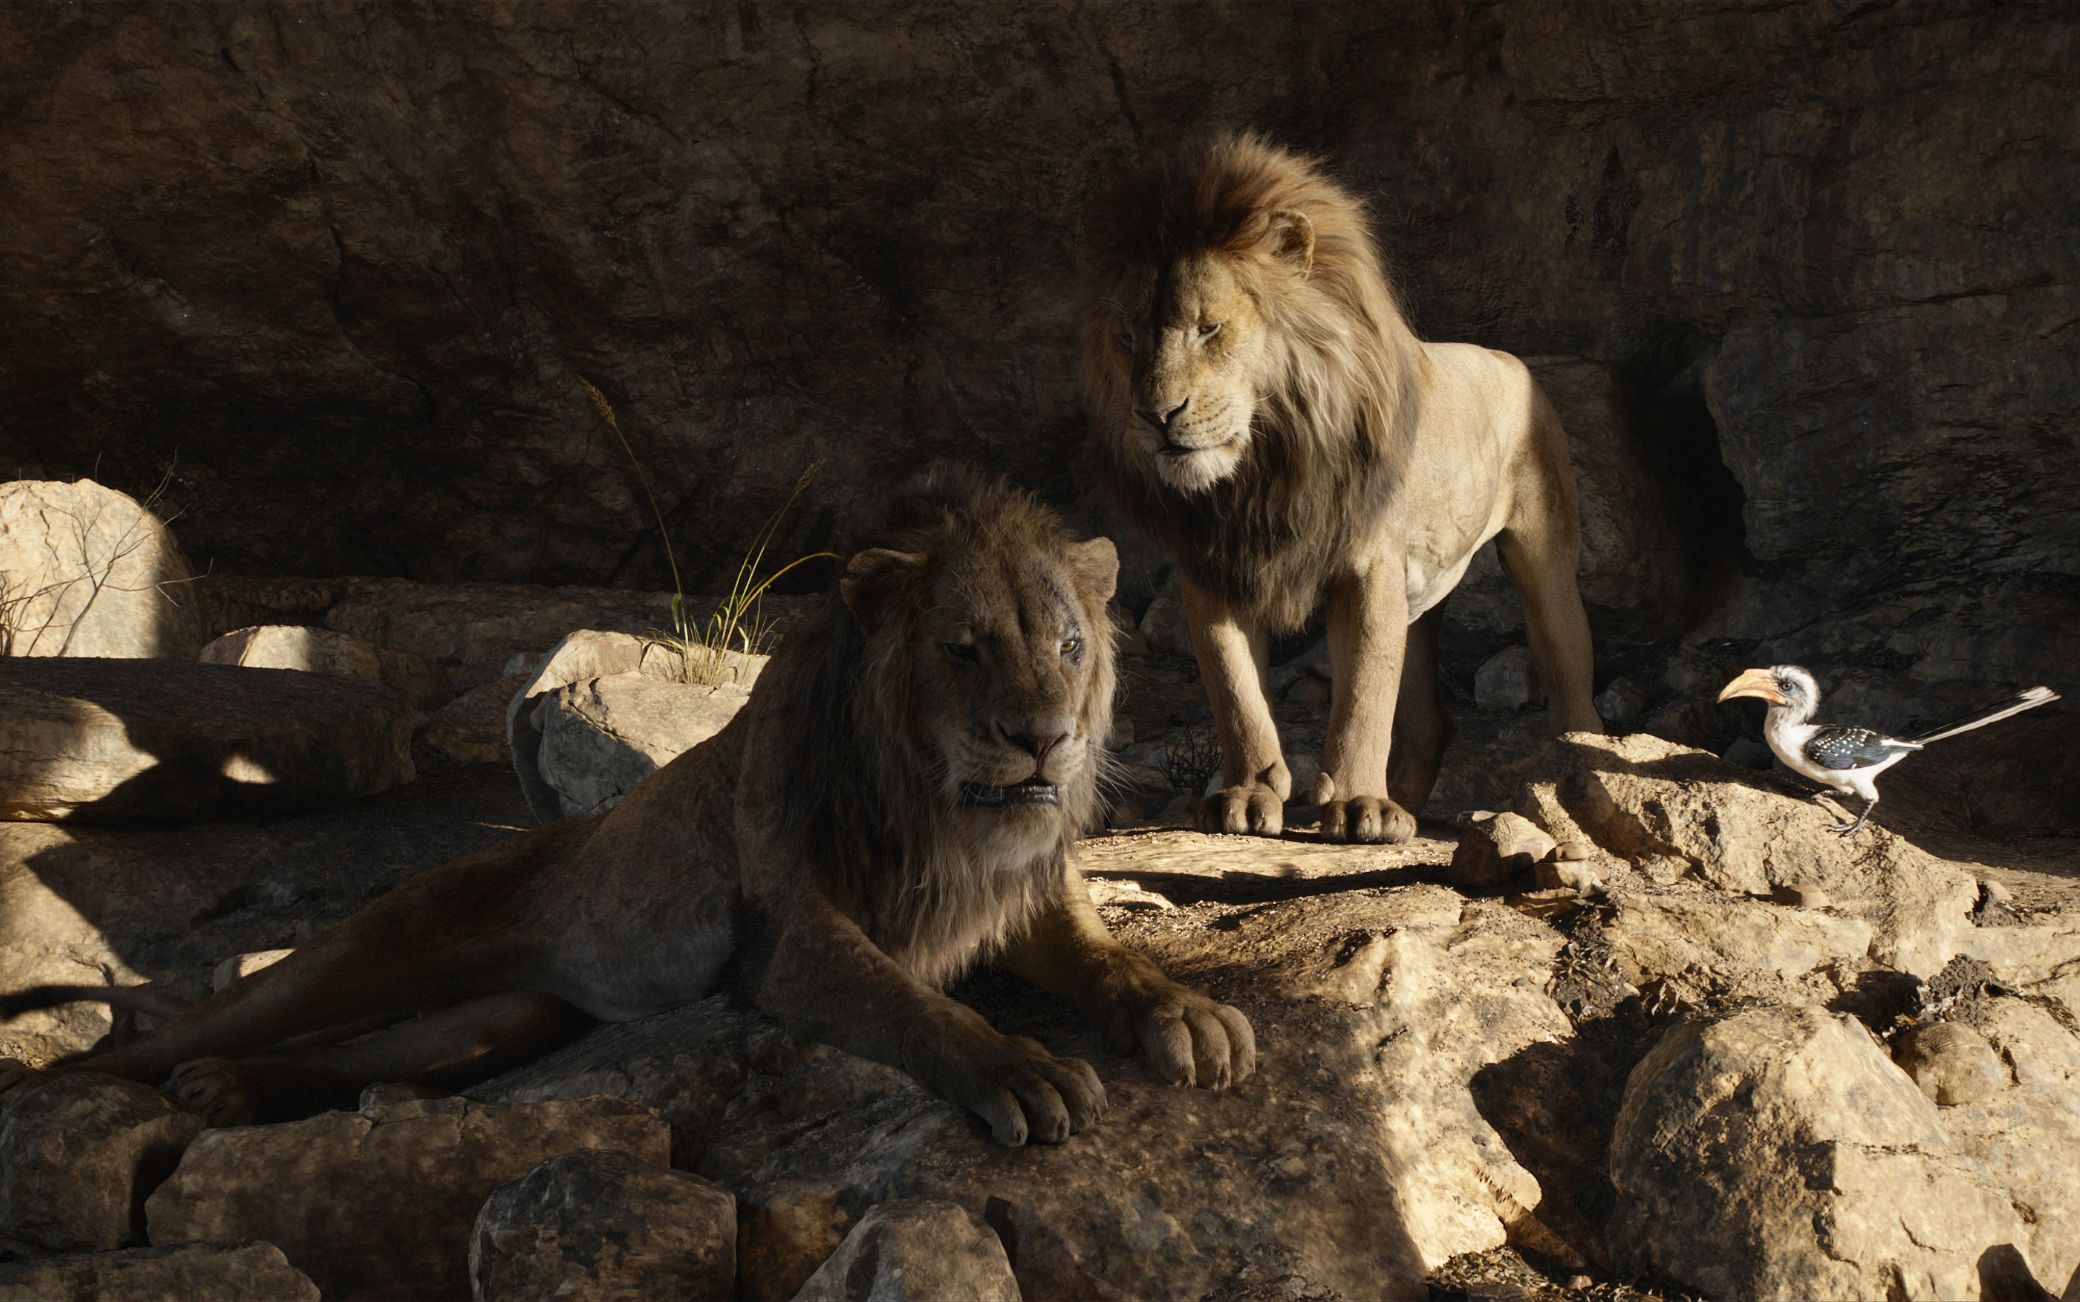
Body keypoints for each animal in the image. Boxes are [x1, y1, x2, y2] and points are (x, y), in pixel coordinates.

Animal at [0, 467, 1253, 1146]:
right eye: (963, 648)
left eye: (1070, 648)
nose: (1043, 736)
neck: (946, 809)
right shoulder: (791, 938)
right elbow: (913, 1009)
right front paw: (1017, 1069)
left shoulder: (1024, 894)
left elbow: (1110, 960)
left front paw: (1188, 1013)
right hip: (371, 942)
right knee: (202, 1027)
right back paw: (75, 1086)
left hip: (504, 1018)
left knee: (371, 1058)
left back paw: (229, 1093)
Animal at [1078, 133, 1601, 845]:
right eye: (1127, 337)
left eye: (1210, 328)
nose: (1156, 415)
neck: (1266, 467)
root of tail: (1510, 357)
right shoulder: (1213, 567)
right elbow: (1235, 691)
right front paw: (1246, 795)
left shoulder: (1369, 567)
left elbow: (1362, 698)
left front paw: (1359, 807)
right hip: (1420, 598)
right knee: (1429, 717)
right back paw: (1406, 800)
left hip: (1544, 564)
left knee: (1570, 674)